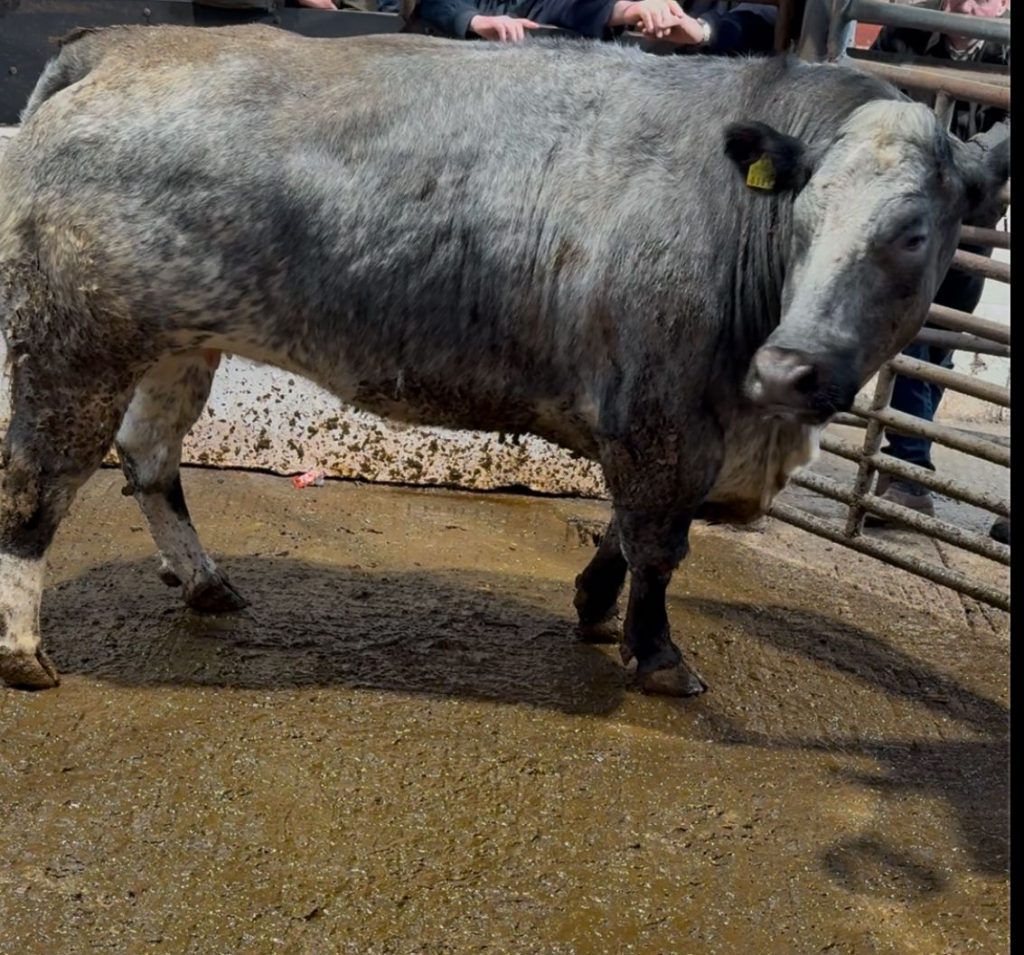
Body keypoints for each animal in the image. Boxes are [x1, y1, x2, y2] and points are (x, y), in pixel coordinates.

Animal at [0, 26, 1009, 695]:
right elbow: (657, 541)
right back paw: (23, 650)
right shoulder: (665, 416)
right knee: (34, 483)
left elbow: (622, 531)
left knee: (148, 456)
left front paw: (593, 604)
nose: (787, 370)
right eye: (804, 213)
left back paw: (205, 581)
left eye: (914, 233)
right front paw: (657, 654)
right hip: (74, 341)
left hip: (180, 339)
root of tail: (121, 45)